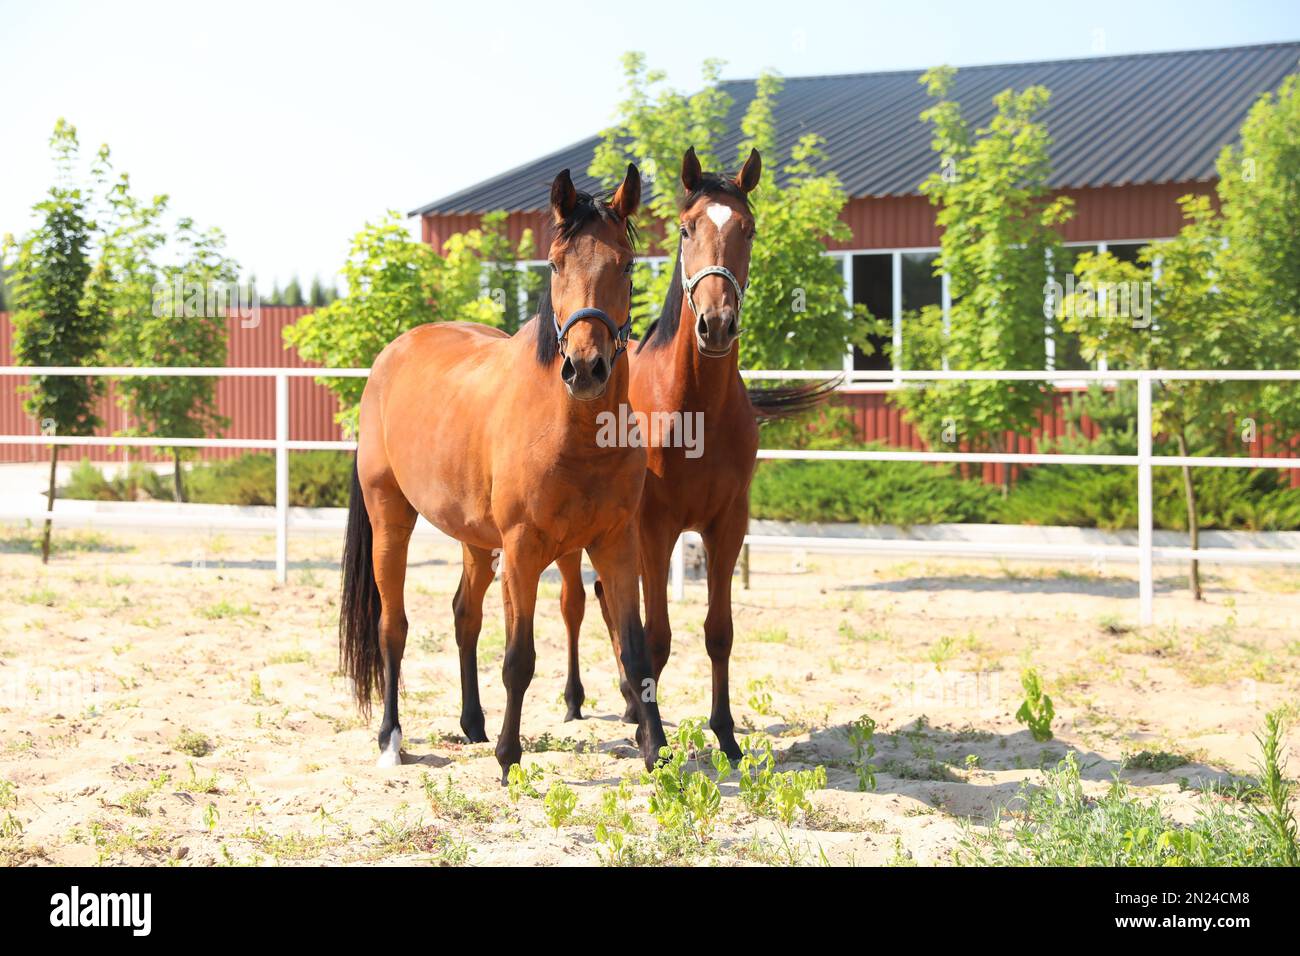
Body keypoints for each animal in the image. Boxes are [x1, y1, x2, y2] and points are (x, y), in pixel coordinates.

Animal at [339, 163, 670, 780]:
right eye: (556, 263)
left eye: (627, 264)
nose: (585, 368)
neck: (574, 433)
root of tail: (389, 357)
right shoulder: (522, 548)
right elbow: (519, 658)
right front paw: (509, 757)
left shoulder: (616, 545)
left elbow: (635, 652)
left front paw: (655, 750)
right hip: (391, 516)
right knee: (394, 627)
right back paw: (391, 739)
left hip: (474, 539)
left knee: (464, 615)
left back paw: (472, 723)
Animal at [555, 147, 834, 760]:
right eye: (686, 229)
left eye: (748, 229)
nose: (717, 324)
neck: (695, 408)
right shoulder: (655, 527)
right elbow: (656, 636)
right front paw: (650, 735)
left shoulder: (727, 524)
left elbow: (718, 631)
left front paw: (725, 734)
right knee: (577, 602)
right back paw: (577, 699)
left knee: (607, 599)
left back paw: (627, 696)